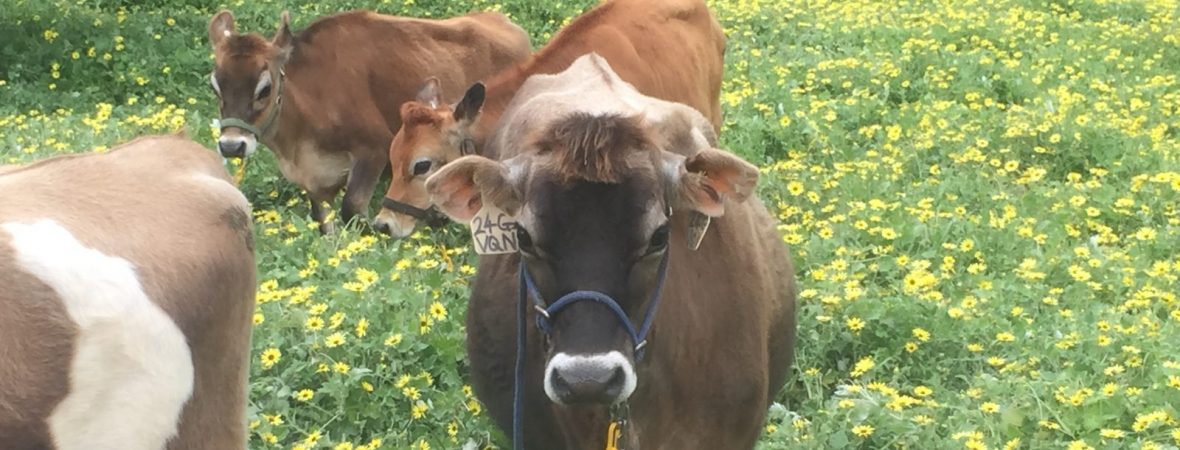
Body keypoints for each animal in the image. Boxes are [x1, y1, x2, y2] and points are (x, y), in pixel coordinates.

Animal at [208, 9, 531, 233]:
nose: (232, 145)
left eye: (264, 89)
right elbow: (323, 224)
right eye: (215, 86)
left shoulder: (373, 149)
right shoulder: (316, 181)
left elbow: (352, 209)